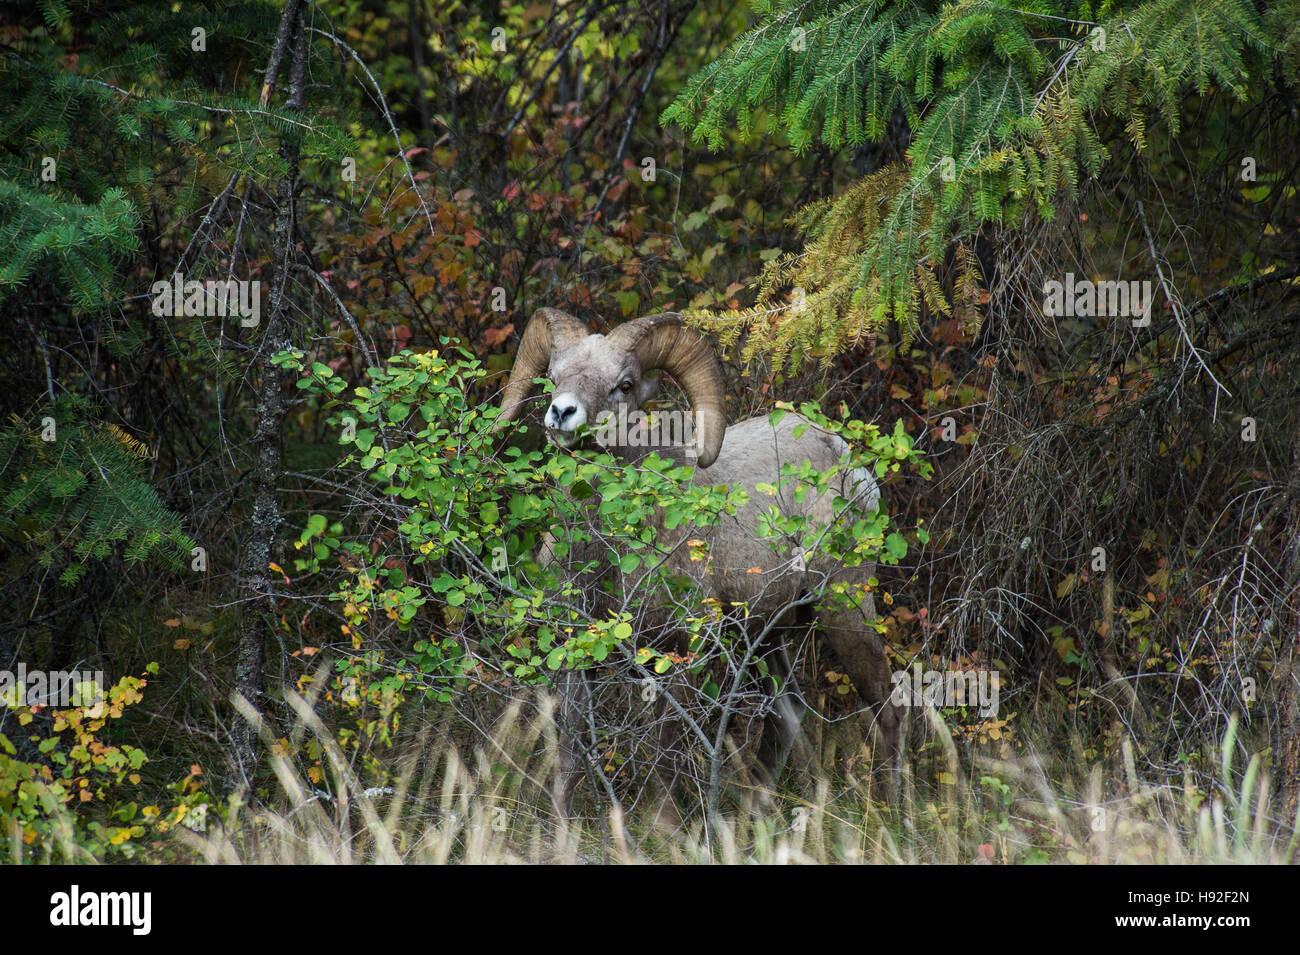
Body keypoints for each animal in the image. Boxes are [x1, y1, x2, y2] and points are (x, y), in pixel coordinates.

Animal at [495, 307, 903, 817]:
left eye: (624, 384)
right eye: (552, 377)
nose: (562, 413)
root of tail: (845, 457)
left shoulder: (679, 651)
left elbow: (667, 752)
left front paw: (667, 827)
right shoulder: (577, 653)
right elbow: (569, 751)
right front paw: (561, 826)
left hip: (844, 608)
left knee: (887, 707)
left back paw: (896, 812)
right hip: (762, 636)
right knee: (787, 716)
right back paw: (753, 818)